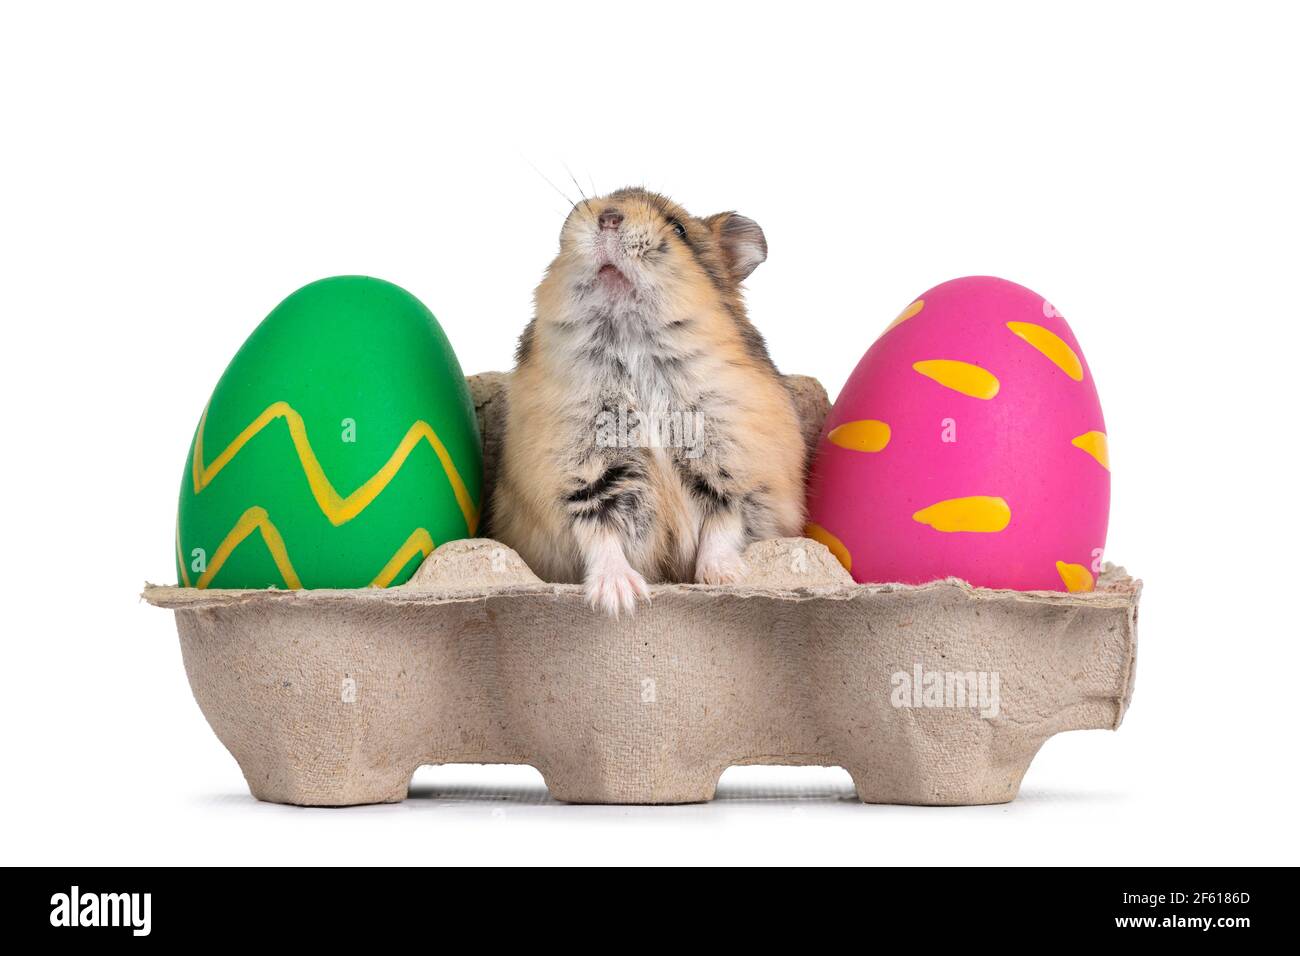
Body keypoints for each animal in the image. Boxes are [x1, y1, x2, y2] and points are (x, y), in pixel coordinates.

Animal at [492, 187, 805, 615]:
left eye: (678, 228)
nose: (608, 217)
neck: (632, 341)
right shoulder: (579, 478)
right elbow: (598, 533)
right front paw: (621, 599)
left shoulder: (736, 469)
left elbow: (723, 525)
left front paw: (724, 578)